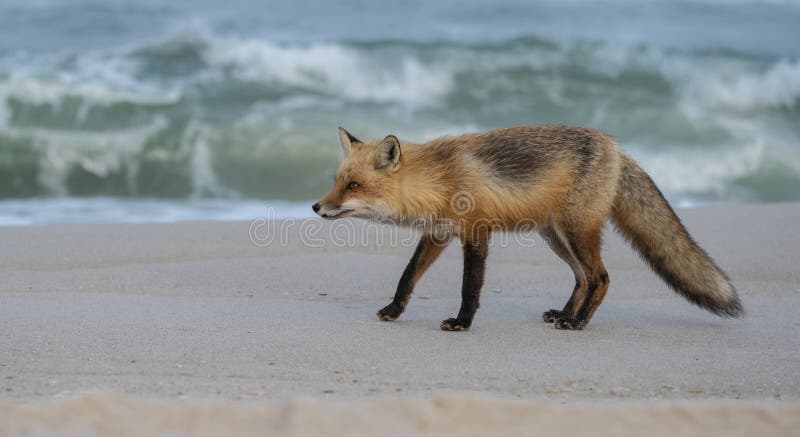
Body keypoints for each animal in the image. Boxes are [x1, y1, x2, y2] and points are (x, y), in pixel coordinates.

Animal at [313, 125, 743, 331]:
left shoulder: (476, 231)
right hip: (555, 236)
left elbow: (470, 286)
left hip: (576, 231)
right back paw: (565, 313)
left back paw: (578, 323)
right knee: (582, 278)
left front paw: (462, 323)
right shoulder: (438, 233)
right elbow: (407, 276)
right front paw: (394, 310)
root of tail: (616, 147)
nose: (316, 207)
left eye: (353, 186)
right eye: (337, 181)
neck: (439, 178)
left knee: (601, 278)